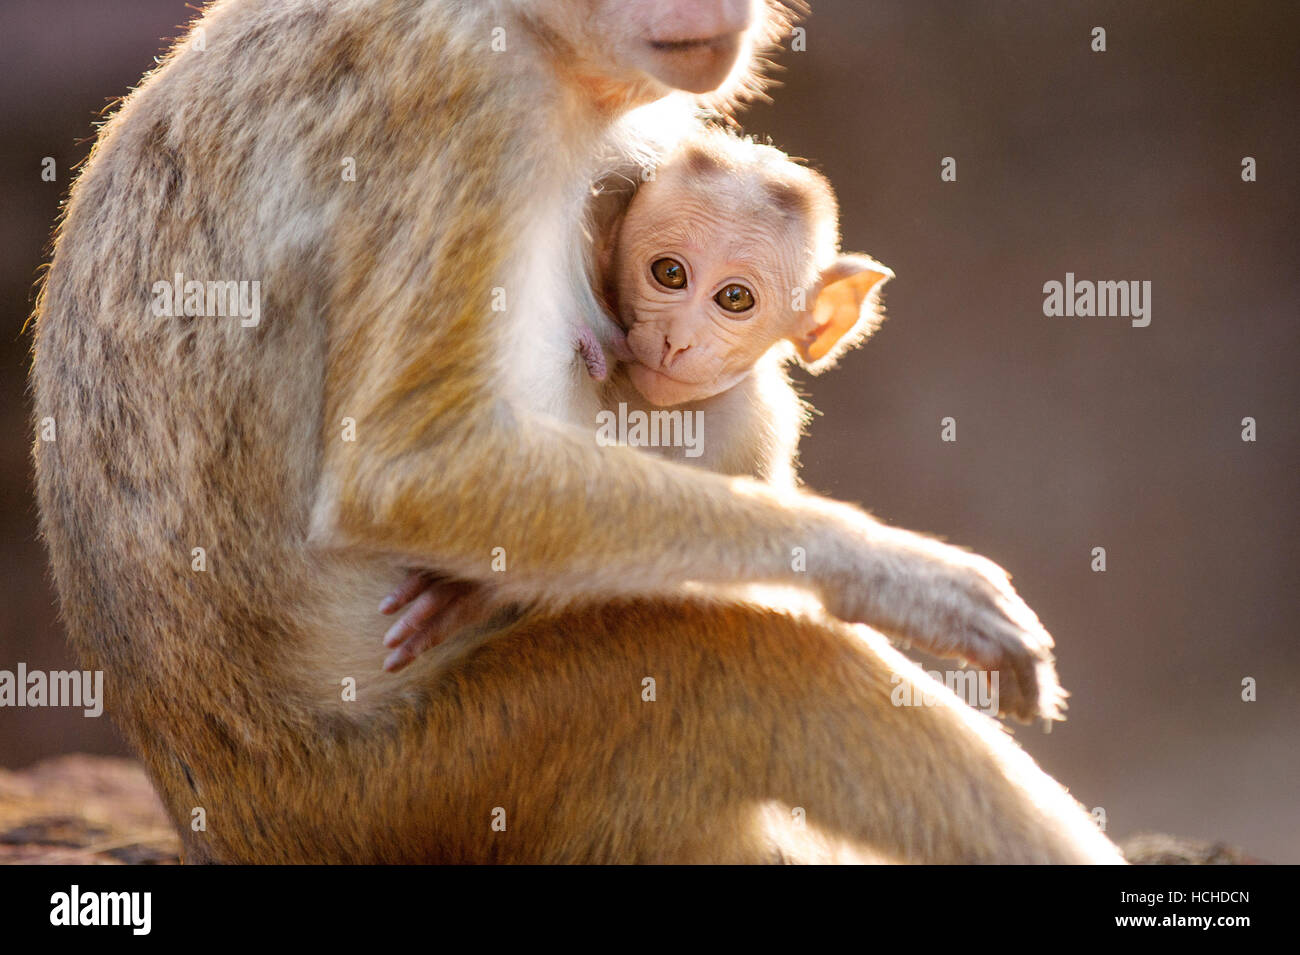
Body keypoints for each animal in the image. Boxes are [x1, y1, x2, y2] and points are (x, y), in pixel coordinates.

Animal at [31, 0, 1121, 862]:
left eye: (732, 296)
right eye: (669, 274)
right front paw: (903, 576)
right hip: (413, 791)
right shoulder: (475, 92)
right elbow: (404, 471)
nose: (675, 337)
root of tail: (215, 809)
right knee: (749, 672)